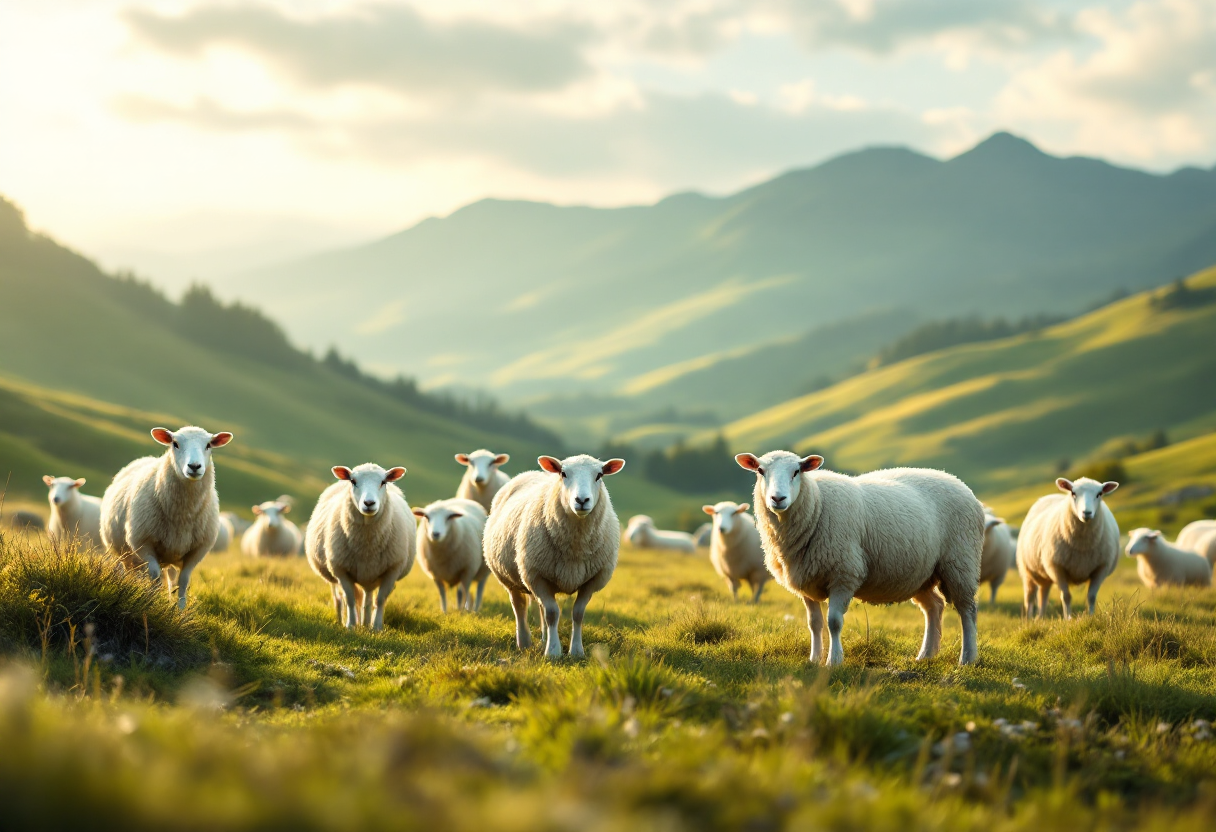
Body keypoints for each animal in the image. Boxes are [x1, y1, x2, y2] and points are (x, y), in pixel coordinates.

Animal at [100, 426, 234, 609]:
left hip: (172, 552)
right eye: (175, 444)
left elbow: (183, 582)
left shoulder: (196, 551)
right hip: (126, 554)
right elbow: (155, 577)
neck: (183, 515)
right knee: (133, 572)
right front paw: (153, 603)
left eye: (208, 445)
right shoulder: (143, 543)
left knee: (170, 578)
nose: (194, 466)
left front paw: (180, 611)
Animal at [306, 464, 415, 630]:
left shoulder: (392, 569)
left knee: (368, 598)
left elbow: (380, 599)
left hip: (370, 573)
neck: (367, 544)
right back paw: (349, 620)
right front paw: (350, 625)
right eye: (353, 481)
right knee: (343, 598)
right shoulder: (340, 570)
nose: (369, 503)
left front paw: (377, 627)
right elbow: (350, 599)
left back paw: (366, 623)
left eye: (383, 482)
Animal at [483, 454, 625, 658]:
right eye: (563, 473)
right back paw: (524, 642)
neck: (576, 546)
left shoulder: (591, 581)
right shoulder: (536, 576)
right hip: (508, 576)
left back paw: (543, 639)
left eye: (599, 475)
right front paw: (553, 652)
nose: (582, 500)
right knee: (519, 607)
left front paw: (576, 651)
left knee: (539, 607)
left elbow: (577, 614)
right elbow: (552, 614)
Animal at [736, 451, 983, 667]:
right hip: (920, 572)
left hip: (961, 561)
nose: (778, 498)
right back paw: (925, 655)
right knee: (934, 607)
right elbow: (814, 624)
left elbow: (834, 622)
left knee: (967, 610)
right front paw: (814, 660)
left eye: (797, 471)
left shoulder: (844, 574)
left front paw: (834, 661)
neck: (817, 504)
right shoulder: (805, 579)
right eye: (760, 470)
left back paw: (967, 659)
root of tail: (957, 481)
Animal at [1017, 477, 1120, 620]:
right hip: (1027, 570)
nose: (1086, 513)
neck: (1082, 544)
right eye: (1073, 493)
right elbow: (1066, 597)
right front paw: (1068, 619)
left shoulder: (1101, 568)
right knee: (1030, 597)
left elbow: (1091, 597)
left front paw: (1091, 617)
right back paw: (1028, 619)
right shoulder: (1056, 567)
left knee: (1043, 594)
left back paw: (1041, 618)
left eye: (1099, 494)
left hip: (1044, 573)